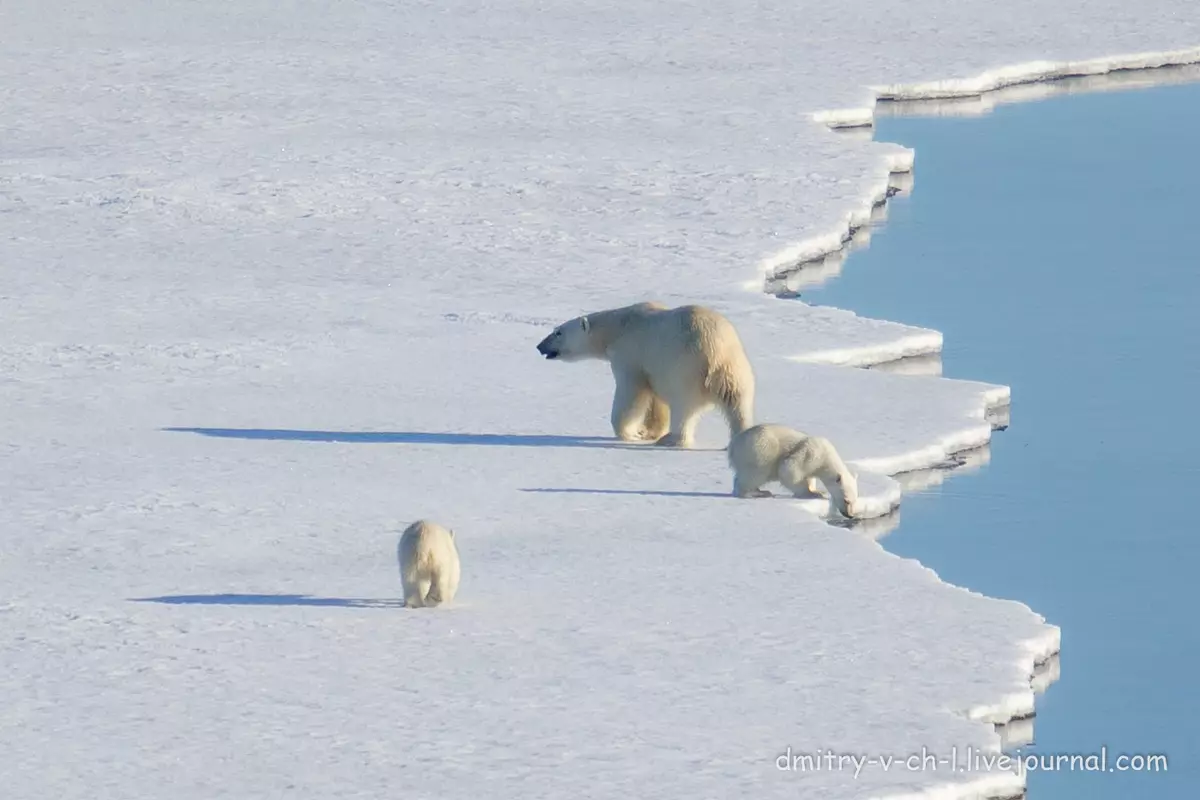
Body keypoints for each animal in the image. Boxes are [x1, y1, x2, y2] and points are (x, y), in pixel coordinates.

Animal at [537, 302, 753, 450]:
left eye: (558, 332)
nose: (540, 346)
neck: (619, 327)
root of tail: (717, 353)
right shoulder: (655, 368)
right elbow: (656, 400)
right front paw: (649, 431)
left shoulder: (630, 355)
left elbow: (631, 395)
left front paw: (631, 433)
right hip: (737, 370)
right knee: (738, 405)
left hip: (688, 370)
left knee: (683, 407)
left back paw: (671, 440)